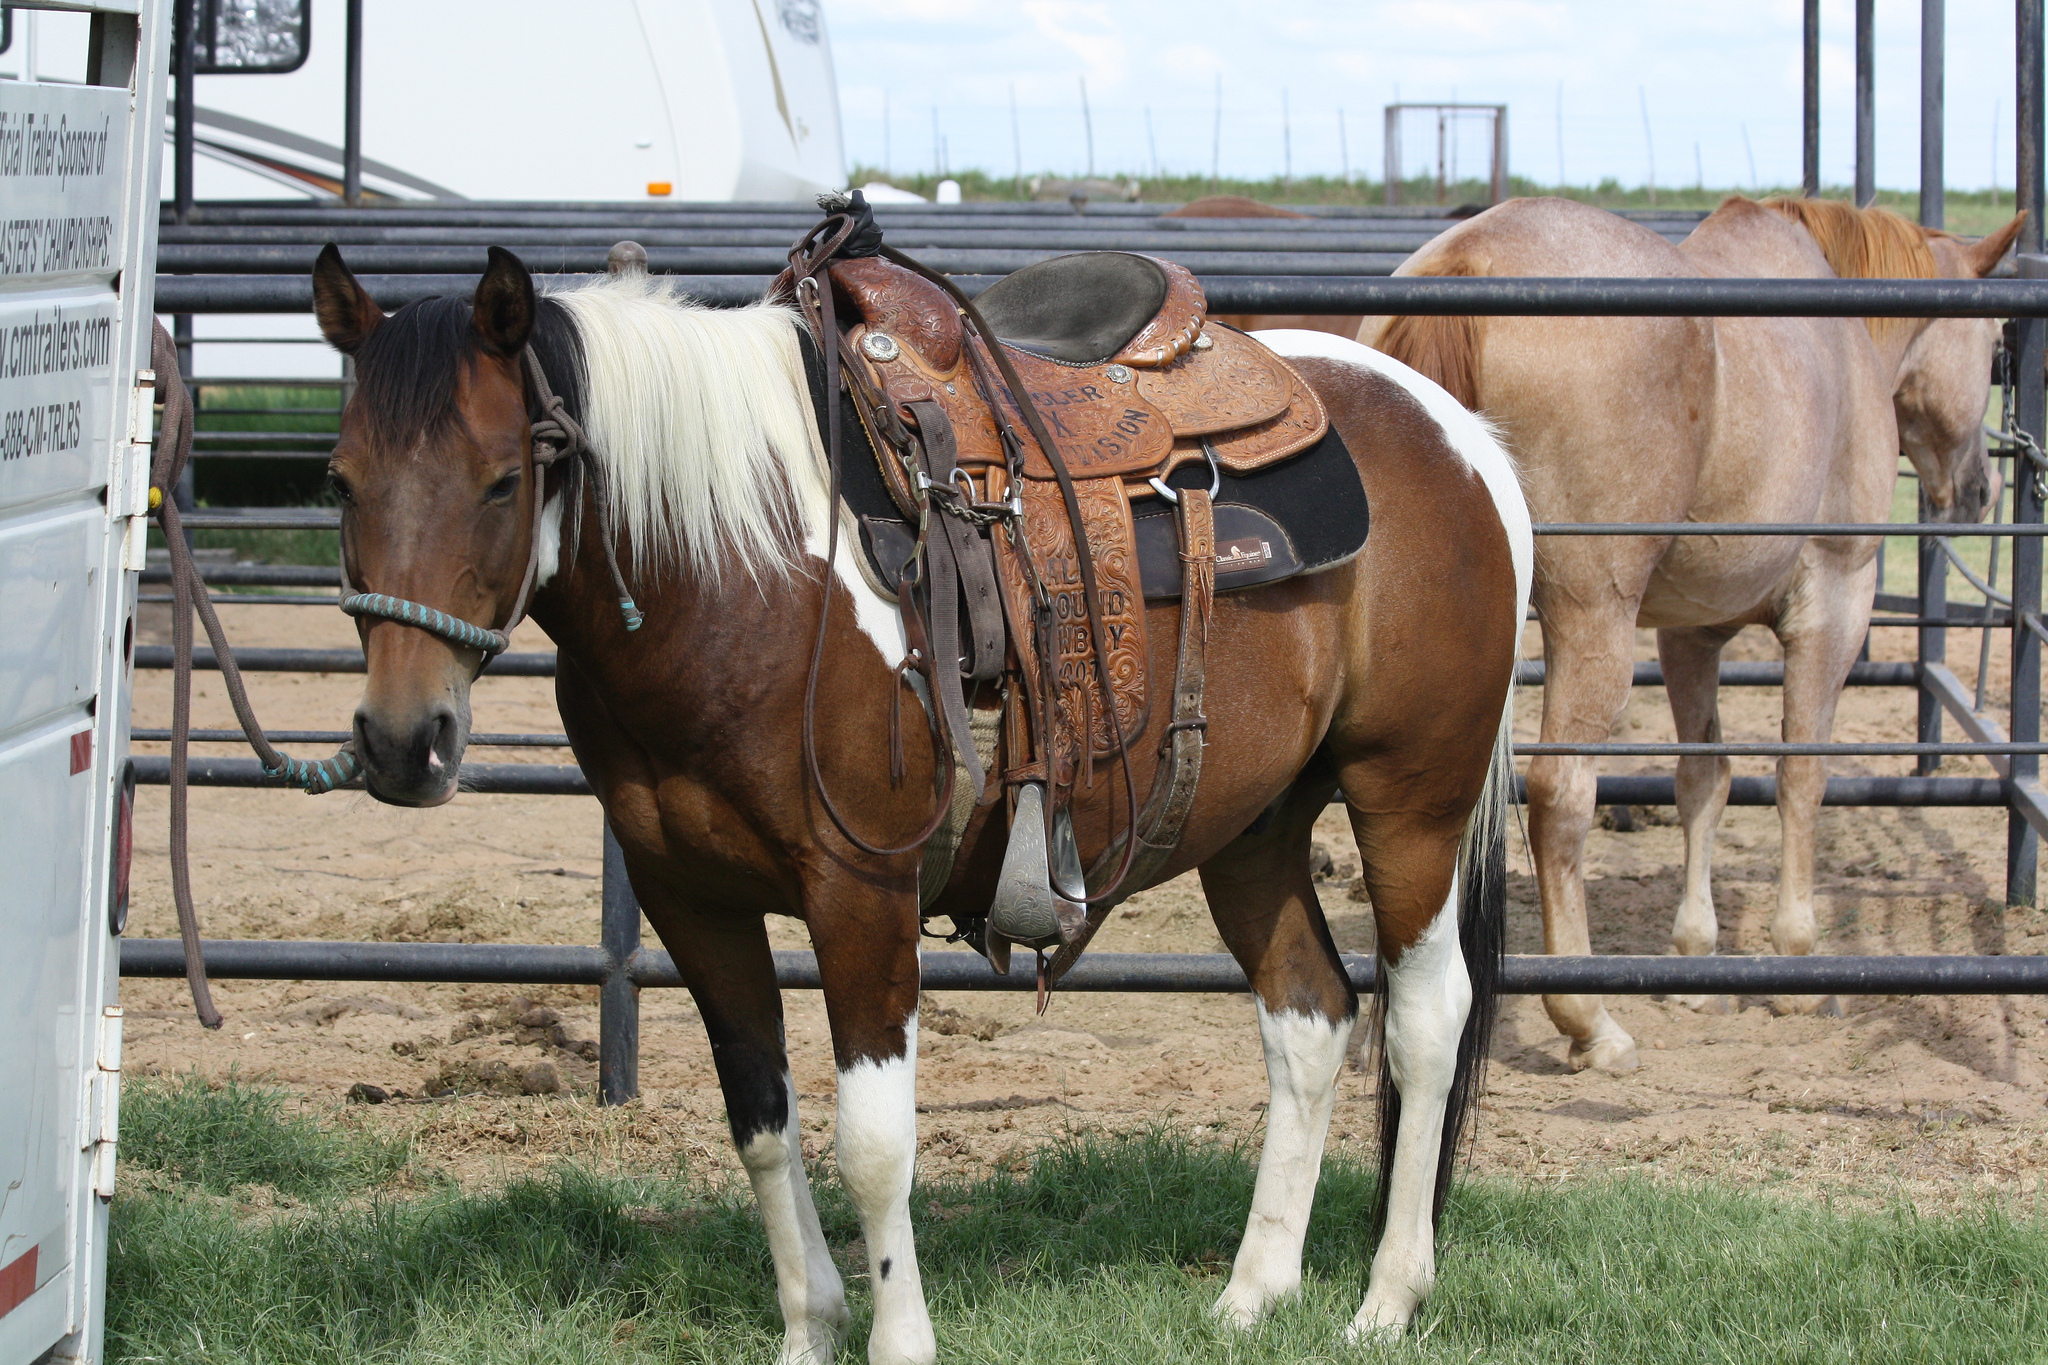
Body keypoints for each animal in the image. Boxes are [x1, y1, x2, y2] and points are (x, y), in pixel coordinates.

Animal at [310, 237, 1530, 1360]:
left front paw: (897, 1340)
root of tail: (1456, 434)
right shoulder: (686, 898)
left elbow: (871, 1140)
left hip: (1408, 799)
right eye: (338, 481)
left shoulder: (861, 890)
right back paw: (1251, 1293)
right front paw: (808, 1331)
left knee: (1424, 1022)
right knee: (1309, 1015)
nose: (403, 740)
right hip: (1250, 826)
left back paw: (1385, 1301)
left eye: (500, 480)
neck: (741, 567)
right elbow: (762, 1118)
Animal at [1361, 195, 2023, 1072]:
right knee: (1561, 795)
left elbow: (1703, 779)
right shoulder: (1837, 601)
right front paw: (1799, 960)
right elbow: (1800, 774)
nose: (1982, 489)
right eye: (1993, 341)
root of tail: (1469, 262)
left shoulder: (1691, 634)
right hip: (1593, 620)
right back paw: (1588, 1019)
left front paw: (1695, 955)